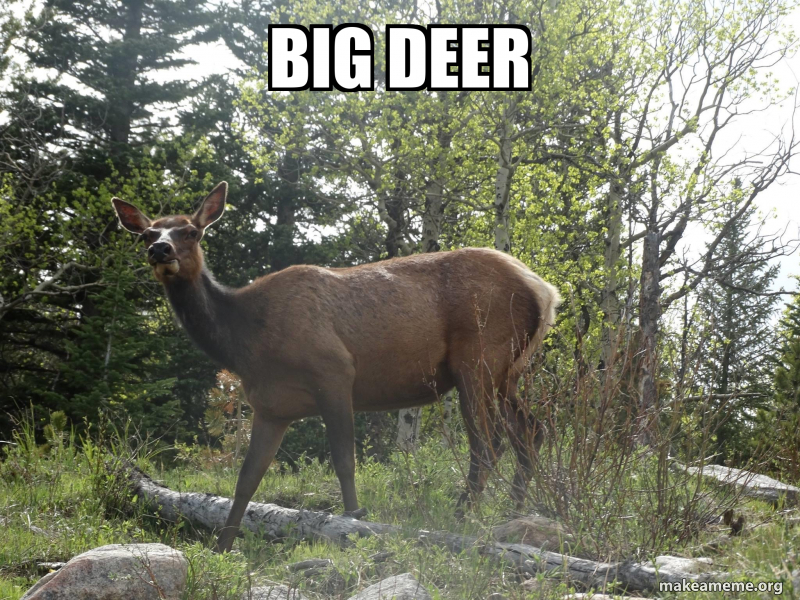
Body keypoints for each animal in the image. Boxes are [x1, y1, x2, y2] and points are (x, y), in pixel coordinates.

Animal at [112, 182, 560, 553]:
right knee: (530, 431)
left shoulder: (334, 370)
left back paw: (462, 519)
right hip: (508, 370)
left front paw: (353, 522)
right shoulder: (271, 406)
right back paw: (513, 513)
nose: (160, 250)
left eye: (191, 231)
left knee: (488, 444)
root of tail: (546, 290)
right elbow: (246, 479)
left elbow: (344, 461)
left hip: (478, 359)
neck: (246, 342)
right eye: (148, 233)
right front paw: (222, 547)